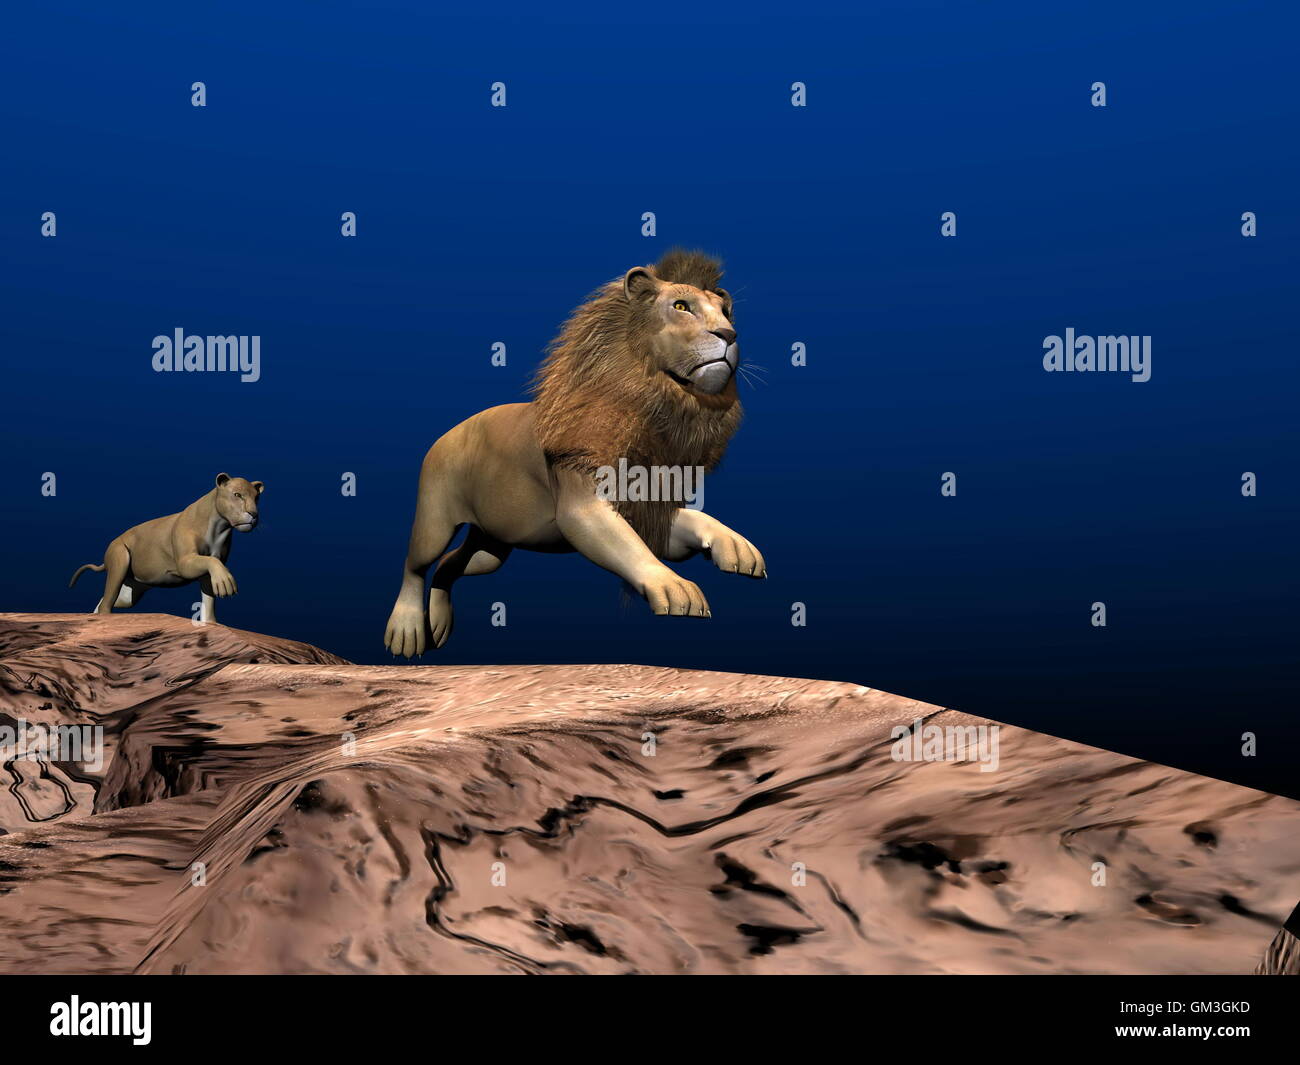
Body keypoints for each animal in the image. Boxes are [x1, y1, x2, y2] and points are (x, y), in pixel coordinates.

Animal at [69, 473, 264, 622]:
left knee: (104, 600)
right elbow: (211, 563)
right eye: (237, 495)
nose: (254, 514)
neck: (220, 527)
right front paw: (226, 581)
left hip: (129, 593)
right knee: (106, 602)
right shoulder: (185, 562)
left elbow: (209, 600)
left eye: (256, 498)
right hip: (120, 560)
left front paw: (211, 623)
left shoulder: (207, 574)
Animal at [383, 249, 766, 657]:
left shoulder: (649, 506)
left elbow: (697, 519)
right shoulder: (583, 504)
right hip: (435, 521)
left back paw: (439, 623)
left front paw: (736, 546)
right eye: (681, 306)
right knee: (416, 565)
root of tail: (446, 434)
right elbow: (630, 548)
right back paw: (406, 630)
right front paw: (670, 584)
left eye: (725, 313)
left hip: (491, 546)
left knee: (449, 565)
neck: (658, 405)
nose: (729, 335)